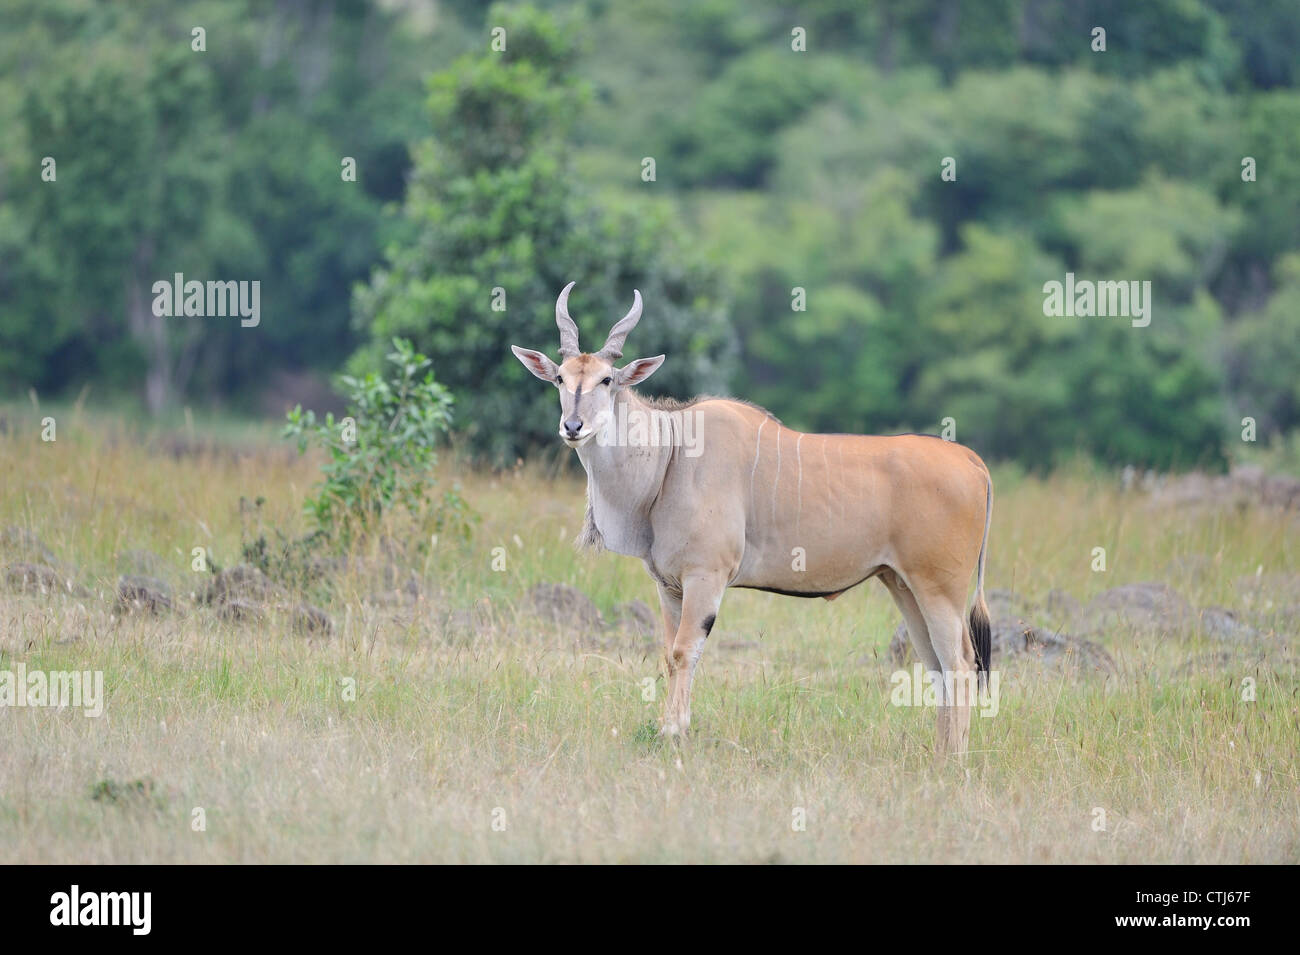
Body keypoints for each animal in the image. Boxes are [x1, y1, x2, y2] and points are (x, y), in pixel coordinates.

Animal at [512, 283, 993, 756]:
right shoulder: (669, 586)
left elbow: (685, 652)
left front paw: (673, 733)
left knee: (960, 662)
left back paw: (954, 759)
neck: (671, 453)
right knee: (936, 664)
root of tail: (973, 462)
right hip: (903, 584)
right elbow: (668, 653)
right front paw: (671, 727)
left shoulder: (705, 576)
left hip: (940, 589)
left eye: (607, 380)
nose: (573, 427)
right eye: (560, 378)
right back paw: (939, 752)